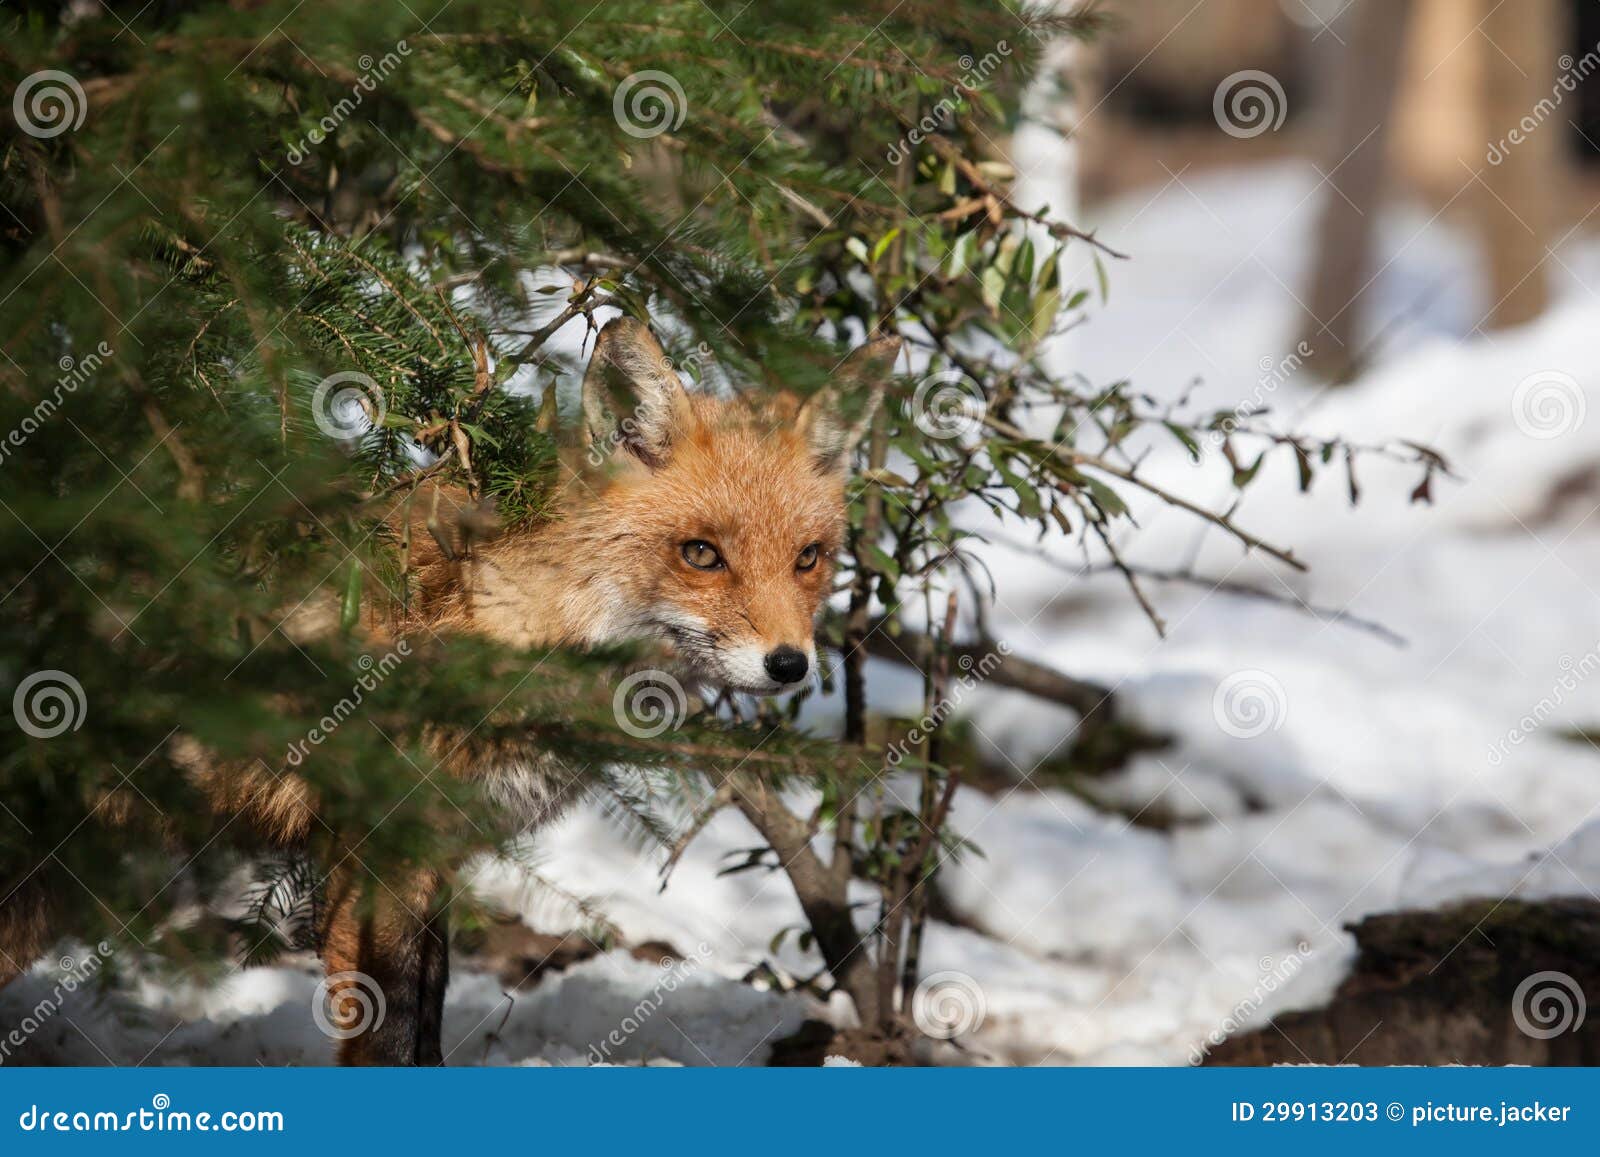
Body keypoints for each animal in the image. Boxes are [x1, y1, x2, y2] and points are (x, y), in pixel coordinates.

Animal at [0, 317, 900, 1065]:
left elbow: (428, 1019)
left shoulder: (434, 853)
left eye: (809, 558)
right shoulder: (376, 853)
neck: (507, 621)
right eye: (702, 554)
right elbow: (390, 1037)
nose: (790, 665)